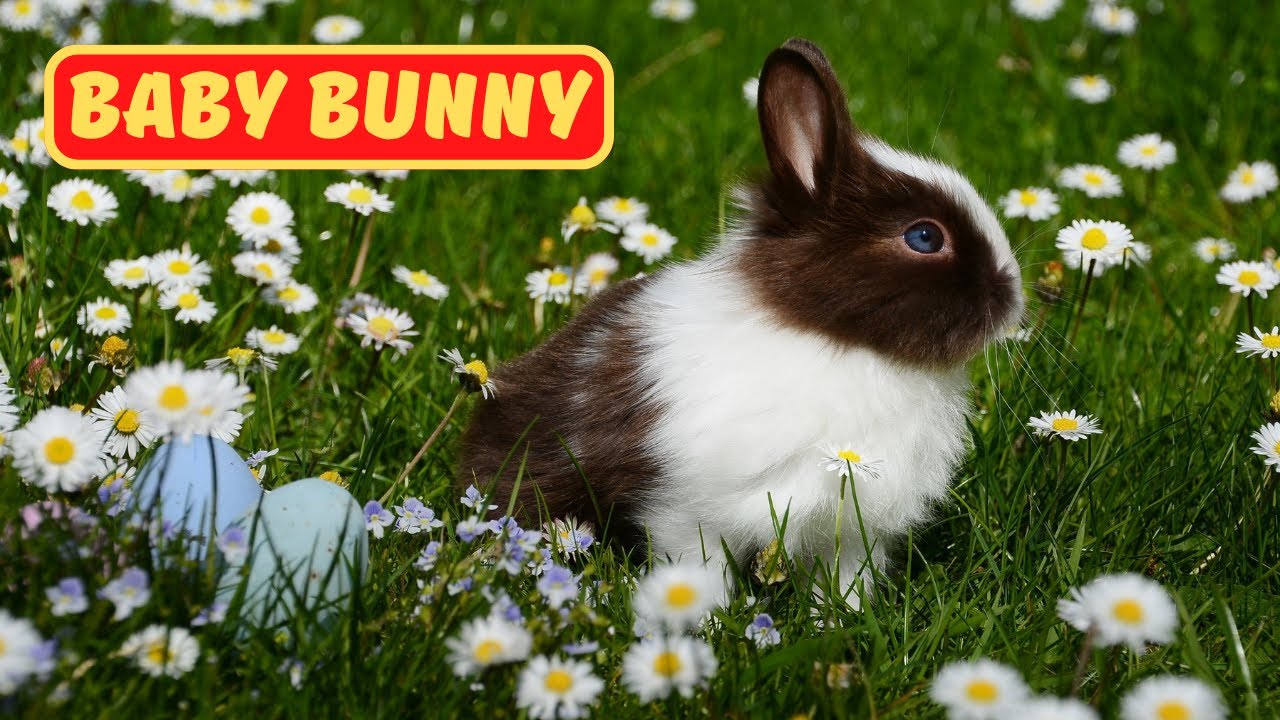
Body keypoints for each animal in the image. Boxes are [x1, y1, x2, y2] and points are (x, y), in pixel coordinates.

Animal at [459, 38, 1024, 607]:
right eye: (925, 237)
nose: (1014, 297)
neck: (836, 341)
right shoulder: (689, 511)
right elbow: (697, 571)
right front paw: (705, 619)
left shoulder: (849, 529)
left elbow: (844, 580)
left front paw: (839, 617)